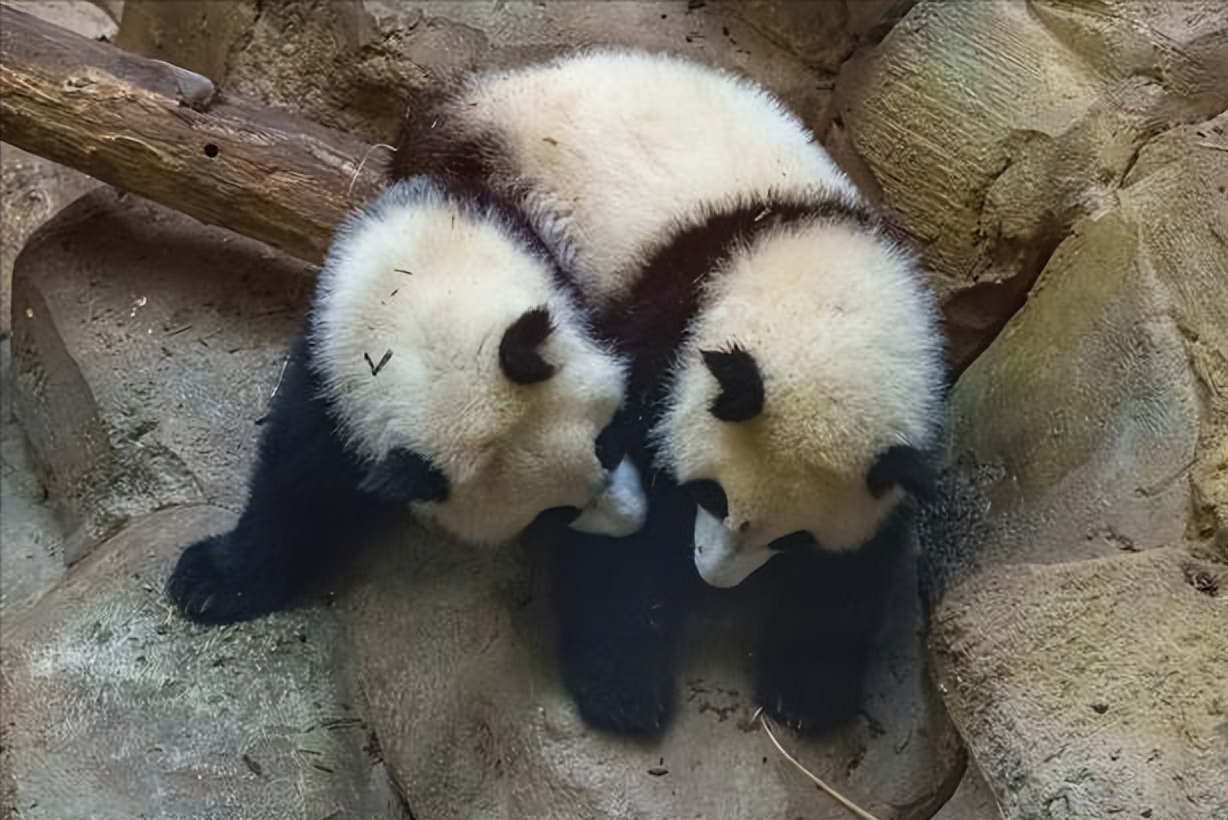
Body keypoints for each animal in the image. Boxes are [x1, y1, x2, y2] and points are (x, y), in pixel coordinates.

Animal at [168, 176, 648, 625]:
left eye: (607, 443)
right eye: (555, 514)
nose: (637, 519)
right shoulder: (331, 383)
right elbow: (299, 482)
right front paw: (207, 582)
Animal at [393, 50, 945, 733]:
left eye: (793, 538)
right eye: (710, 493)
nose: (714, 577)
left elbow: (856, 564)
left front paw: (807, 696)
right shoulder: (663, 328)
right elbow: (623, 515)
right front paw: (623, 689)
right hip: (494, 176)